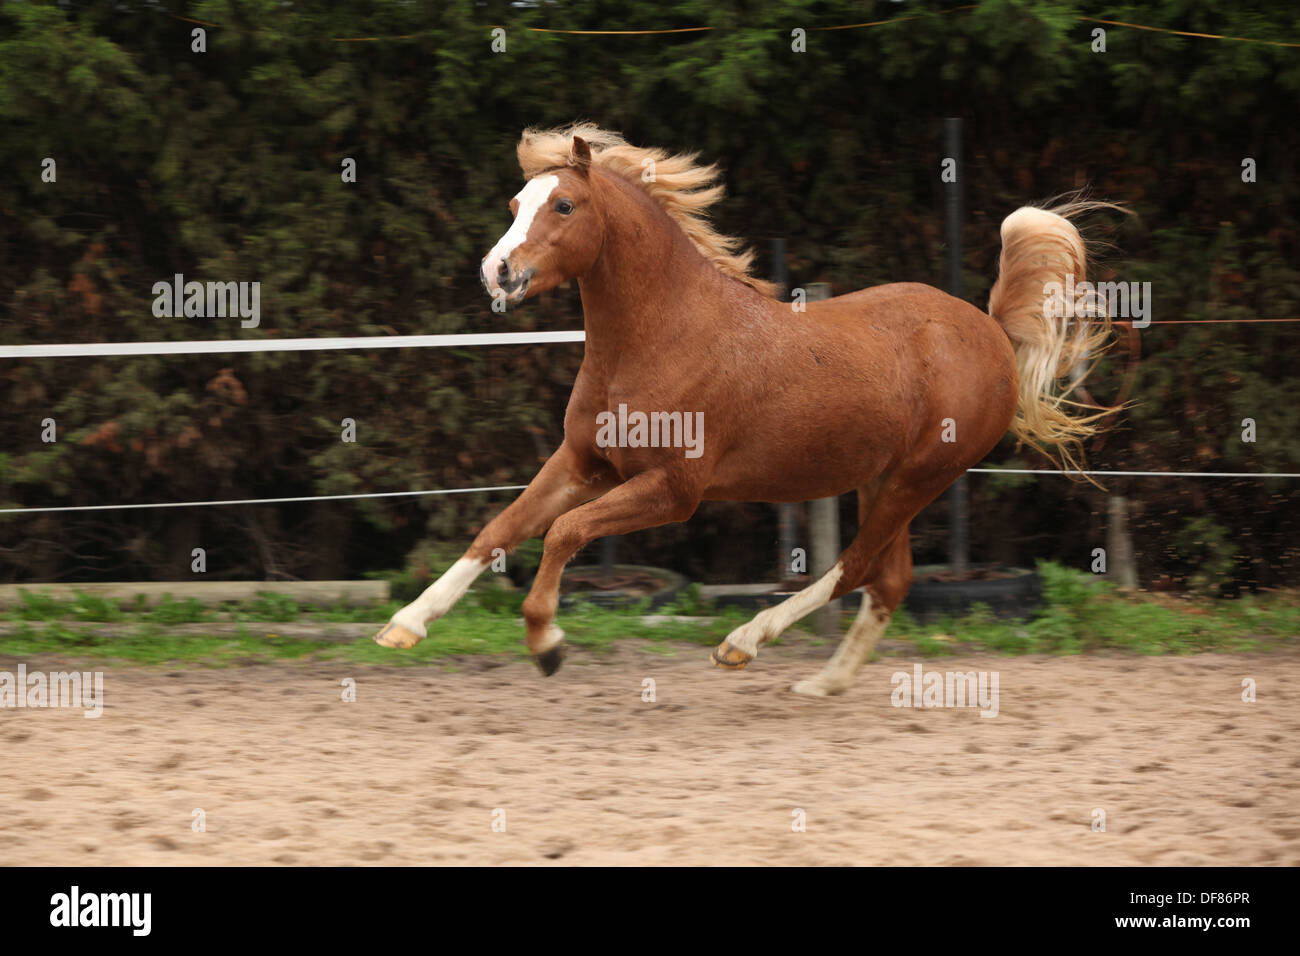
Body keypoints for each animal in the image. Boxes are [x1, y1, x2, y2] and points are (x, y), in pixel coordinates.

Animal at [374, 123, 1114, 696]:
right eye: (515, 201)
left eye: (562, 204)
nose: (496, 273)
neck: (660, 335)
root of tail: (990, 331)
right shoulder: (585, 463)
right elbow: (499, 528)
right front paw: (404, 626)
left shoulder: (673, 491)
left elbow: (561, 533)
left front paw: (546, 643)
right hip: (882, 478)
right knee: (890, 580)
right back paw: (824, 681)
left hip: (920, 477)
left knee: (855, 568)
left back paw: (744, 641)